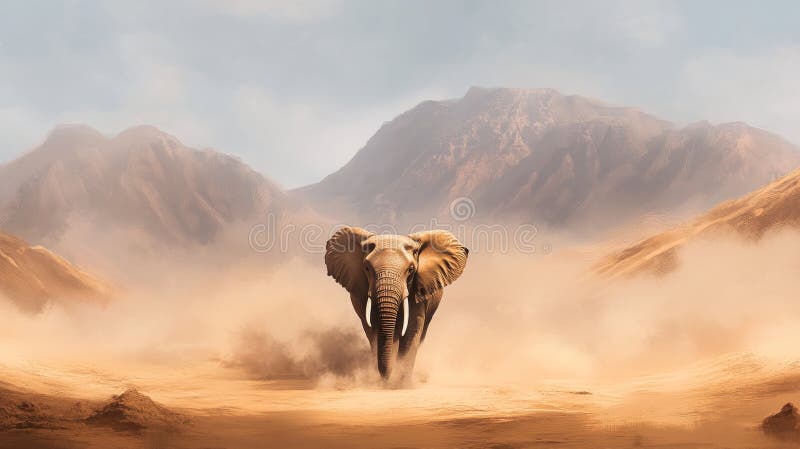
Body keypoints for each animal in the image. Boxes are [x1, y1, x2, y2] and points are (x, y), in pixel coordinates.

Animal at [325, 227, 469, 382]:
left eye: (411, 270)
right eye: (367, 268)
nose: (386, 378)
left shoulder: (418, 289)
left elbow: (412, 327)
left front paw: (401, 383)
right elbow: (374, 329)